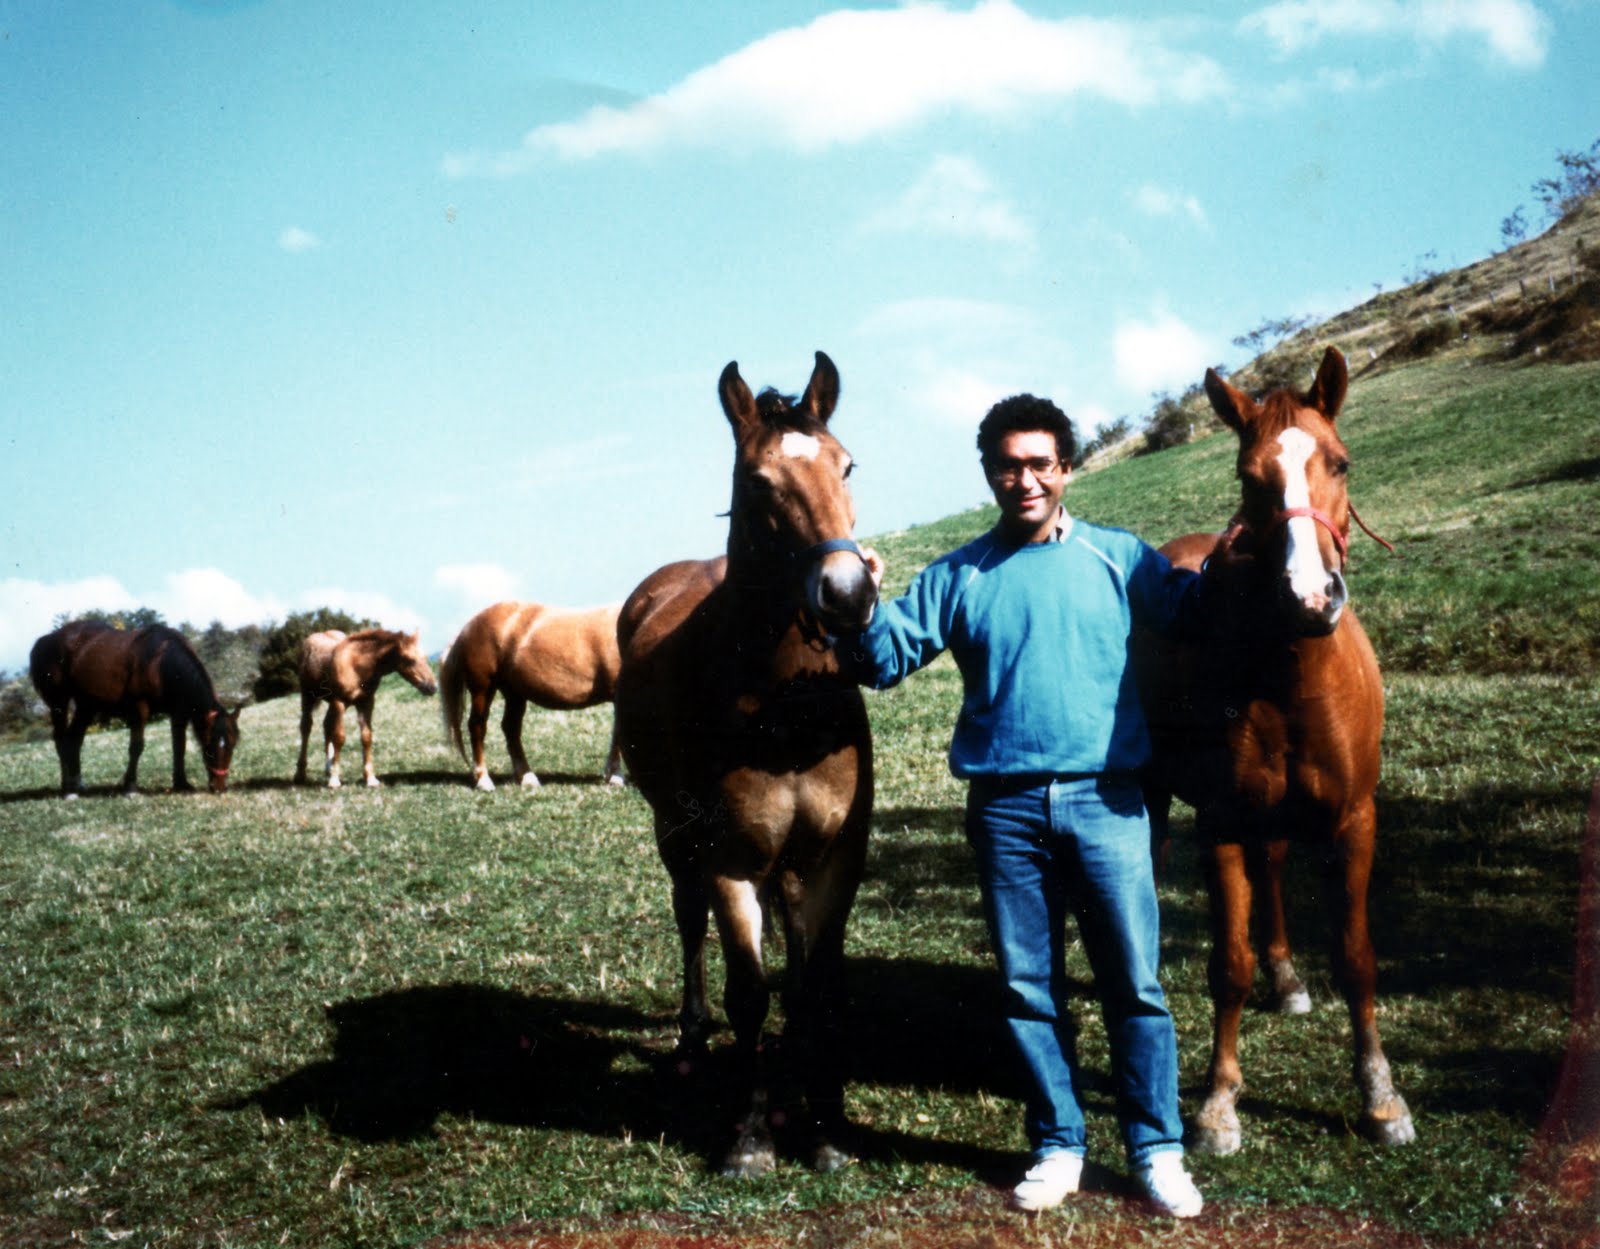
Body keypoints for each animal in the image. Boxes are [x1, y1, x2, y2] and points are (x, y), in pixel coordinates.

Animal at [29, 620, 241, 796]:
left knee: (74, 740)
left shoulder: (178, 715)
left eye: (232, 745)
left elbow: (179, 747)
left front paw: (181, 784)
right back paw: (68, 790)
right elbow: (136, 747)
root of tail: (45, 640)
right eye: (209, 748)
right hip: (59, 703)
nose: (219, 788)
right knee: (61, 740)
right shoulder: (140, 710)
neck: (160, 662)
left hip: (86, 706)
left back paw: (77, 785)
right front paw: (130, 787)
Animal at [294, 629, 438, 789]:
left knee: (326, 725)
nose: (432, 687)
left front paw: (370, 778)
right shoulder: (339, 702)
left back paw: (328, 768)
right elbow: (339, 737)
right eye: (410, 660)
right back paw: (300, 774)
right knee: (306, 727)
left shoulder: (366, 702)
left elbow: (366, 737)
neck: (357, 666)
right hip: (308, 696)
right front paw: (335, 780)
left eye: (425, 657)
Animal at [438, 602, 624, 791]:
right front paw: (616, 776)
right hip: (483, 689)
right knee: (477, 726)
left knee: (510, 728)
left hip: (514, 694)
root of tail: (468, 626)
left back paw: (527, 777)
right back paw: (484, 779)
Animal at [613, 351, 877, 1177]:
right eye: (759, 482)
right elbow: (750, 992)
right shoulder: (729, 858)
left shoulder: (837, 857)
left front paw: (823, 1127)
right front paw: (752, 1137)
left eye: (846, 463)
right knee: (688, 918)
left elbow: (814, 985)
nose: (848, 593)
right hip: (676, 836)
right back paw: (694, 1040)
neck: (780, 706)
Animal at [1139, 346, 1415, 1156]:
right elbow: (1227, 967)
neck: (1289, 672)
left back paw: (1288, 977)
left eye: (1341, 463)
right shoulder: (1223, 823)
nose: (1309, 597)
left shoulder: (1353, 820)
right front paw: (1218, 1102)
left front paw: (1381, 1094)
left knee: (1275, 869)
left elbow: (1357, 958)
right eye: (1246, 475)